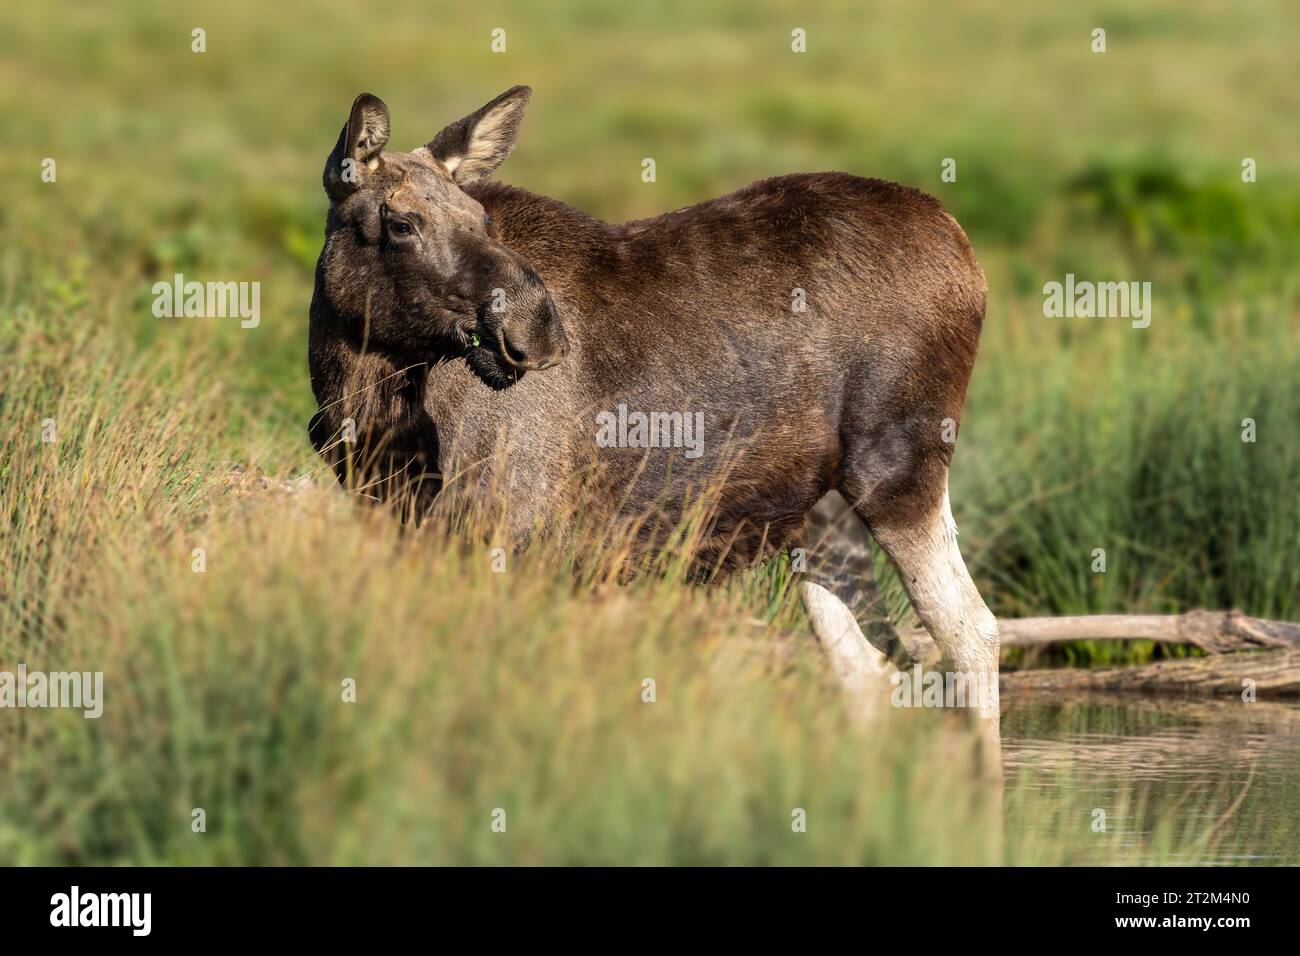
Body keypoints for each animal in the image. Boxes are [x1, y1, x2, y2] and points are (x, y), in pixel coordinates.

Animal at [307, 87, 1001, 757]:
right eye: (400, 223)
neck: (367, 407)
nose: (536, 326)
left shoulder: (513, 531)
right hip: (821, 515)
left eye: (481, 219)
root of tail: (964, 247)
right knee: (867, 662)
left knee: (973, 633)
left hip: (899, 471)